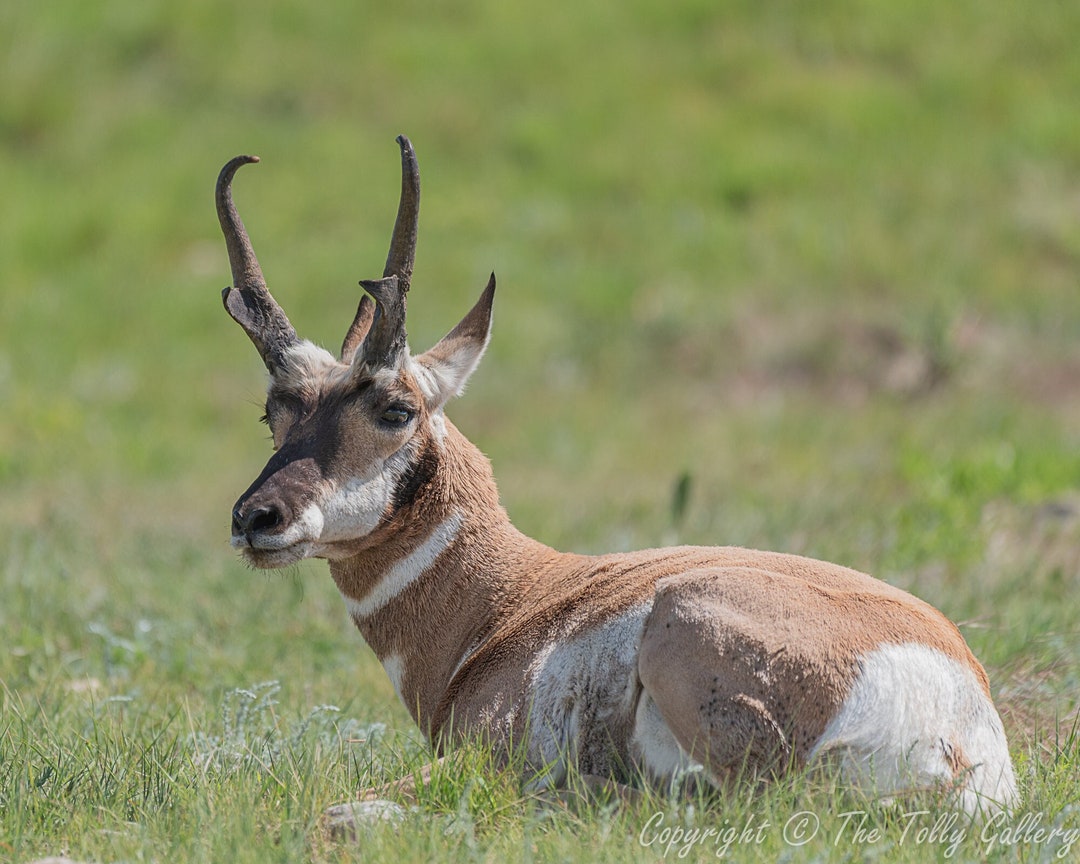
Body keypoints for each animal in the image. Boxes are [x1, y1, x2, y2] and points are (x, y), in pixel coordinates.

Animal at [216, 136, 1017, 822]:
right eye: (274, 412)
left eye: (396, 408)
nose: (257, 518)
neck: (508, 599)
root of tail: (959, 716)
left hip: (687, 629)